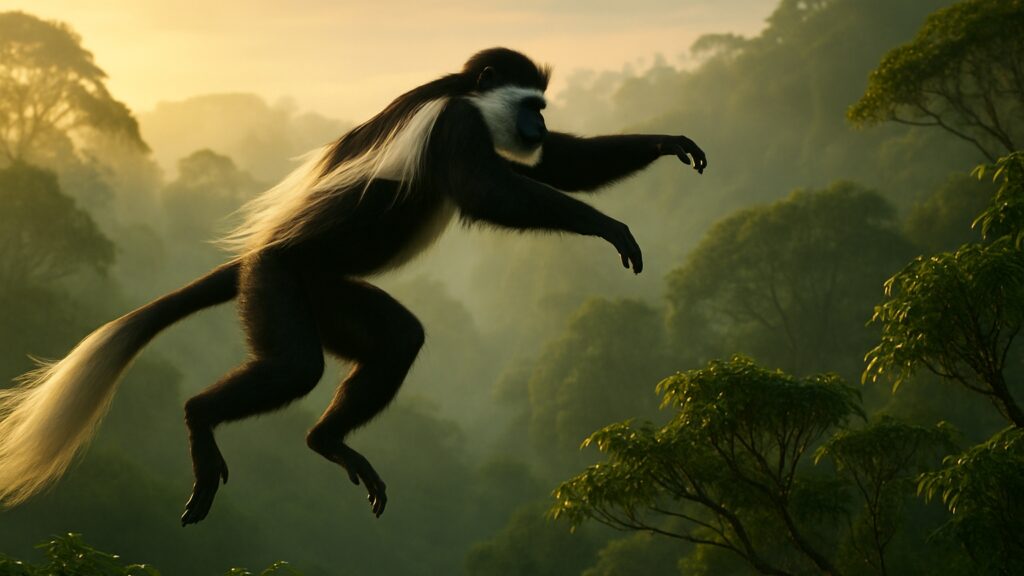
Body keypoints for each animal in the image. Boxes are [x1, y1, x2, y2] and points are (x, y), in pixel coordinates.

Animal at [0, 48, 706, 525]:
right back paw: (204, 419)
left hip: (327, 293)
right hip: (277, 286)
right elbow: (487, 192)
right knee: (295, 366)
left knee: (397, 338)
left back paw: (328, 441)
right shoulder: (457, 125)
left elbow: (559, 164)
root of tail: (256, 257)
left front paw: (669, 142)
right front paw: (609, 227)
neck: (468, 97)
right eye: (530, 105)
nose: (533, 127)